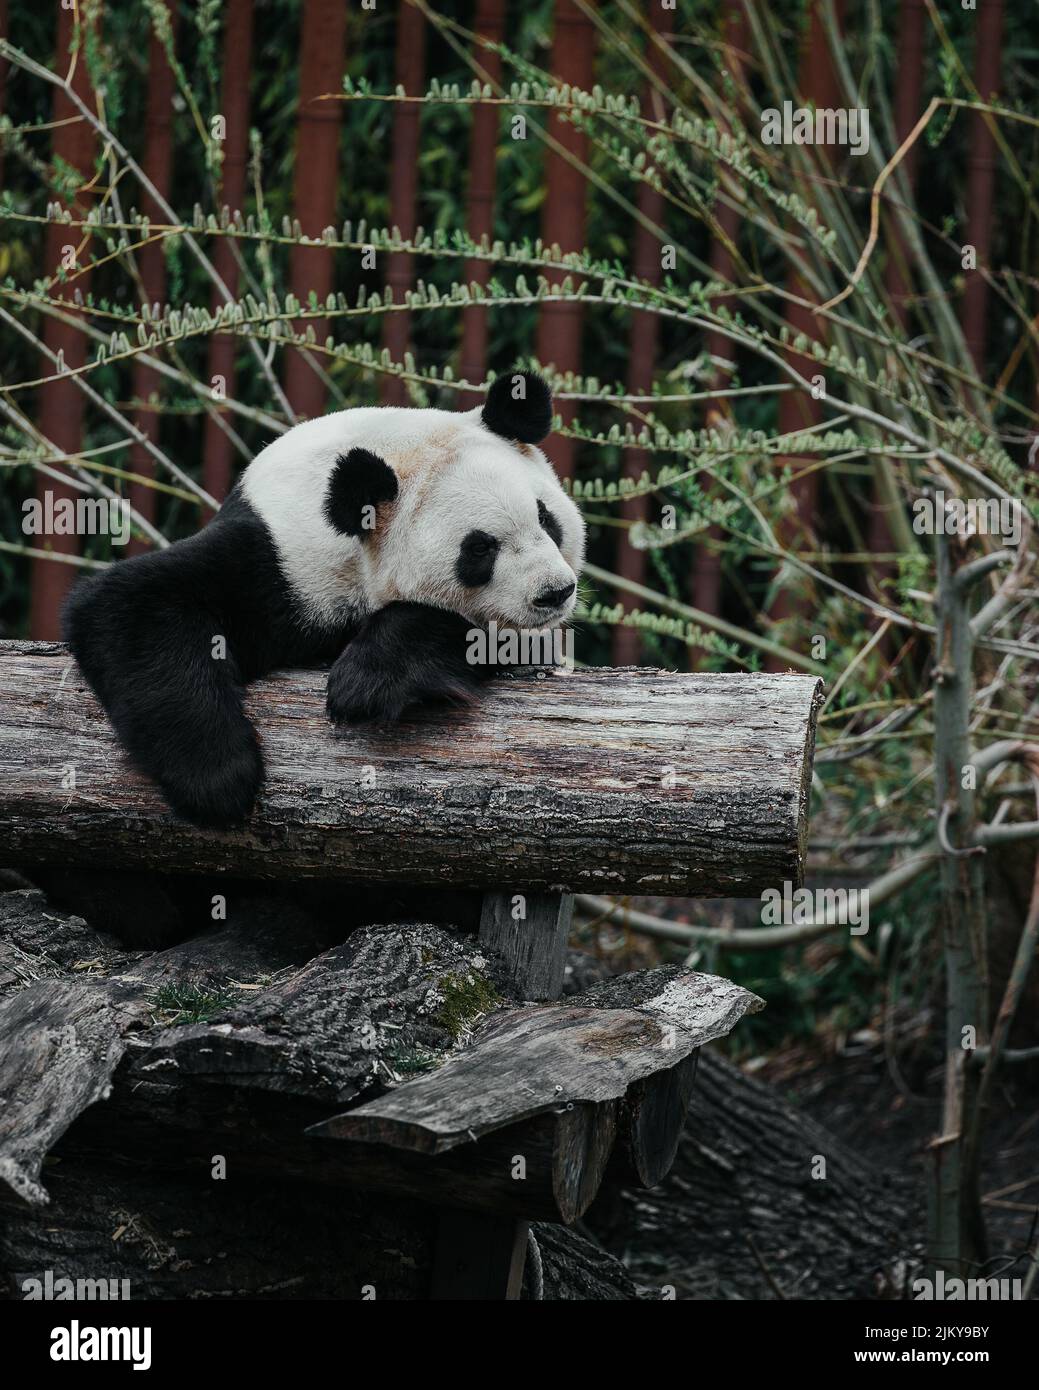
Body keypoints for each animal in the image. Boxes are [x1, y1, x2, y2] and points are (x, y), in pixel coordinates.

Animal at [64, 371, 585, 830]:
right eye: (479, 549)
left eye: (546, 519)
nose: (555, 592)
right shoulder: (277, 558)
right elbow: (132, 602)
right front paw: (218, 778)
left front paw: (368, 680)